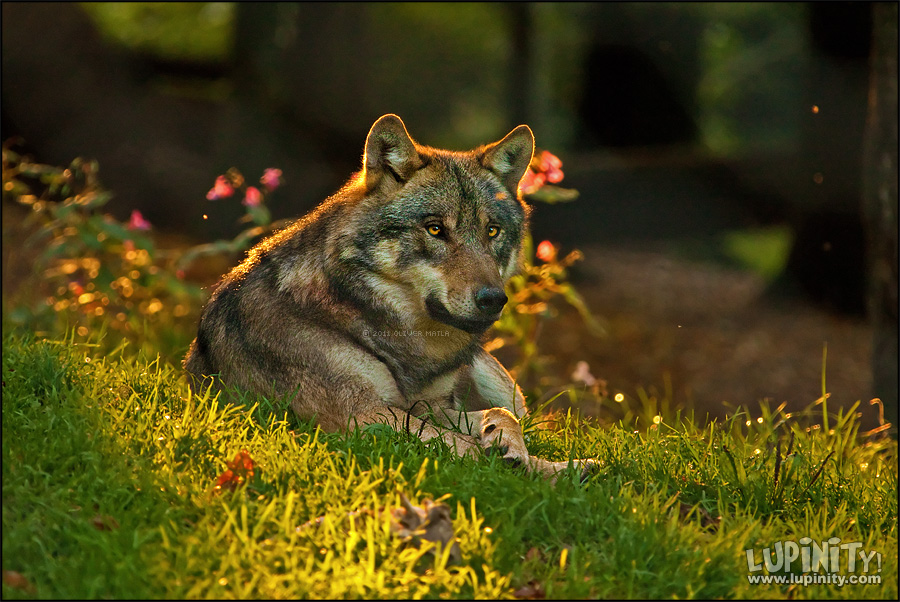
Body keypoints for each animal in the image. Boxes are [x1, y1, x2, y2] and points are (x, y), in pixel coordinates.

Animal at [184, 114, 595, 479]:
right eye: (435, 229)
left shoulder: (429, 405)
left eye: (492, 231)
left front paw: (538, 462)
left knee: (522, 416)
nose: (493, 298)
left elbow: (498, 419)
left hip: (507, 388)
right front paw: (511, 468)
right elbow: (463, 446)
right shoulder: (363, 415)